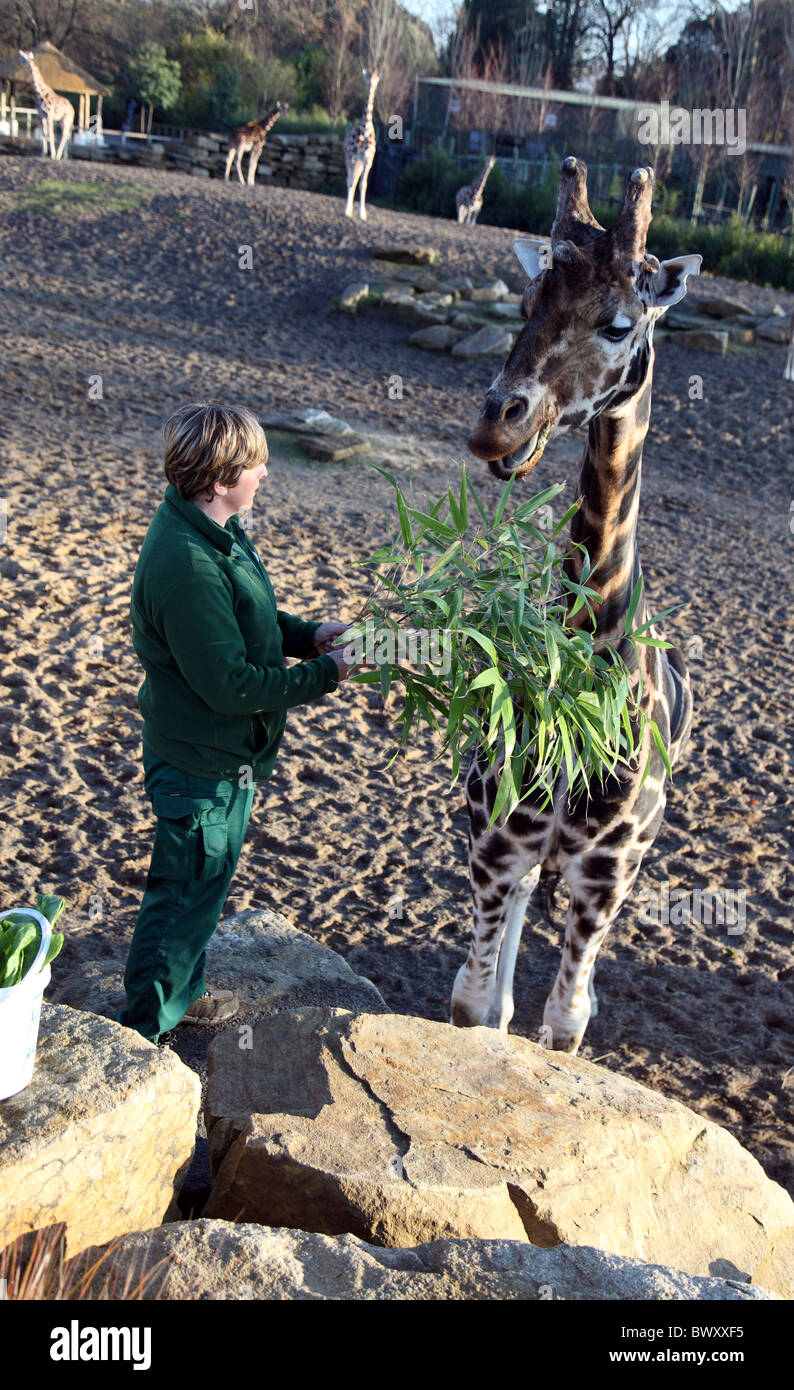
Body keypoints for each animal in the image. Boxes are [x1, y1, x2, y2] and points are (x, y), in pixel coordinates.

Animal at [450, 156, 701, 1054]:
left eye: (621, 323)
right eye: (527, 303)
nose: (498, 426)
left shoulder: (605, 870)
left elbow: (564, 1027)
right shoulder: (500, 844)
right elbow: (479, 1011)